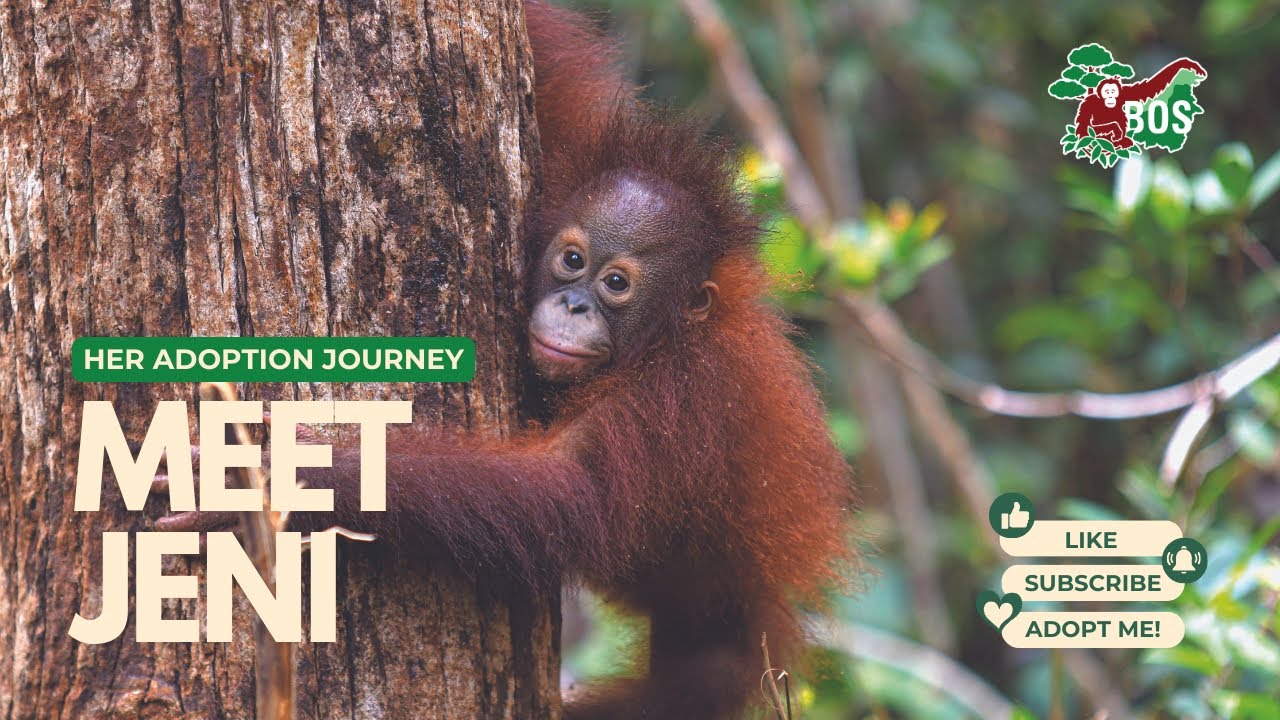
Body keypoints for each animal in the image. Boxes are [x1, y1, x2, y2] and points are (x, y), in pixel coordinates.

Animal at [154, 2, 856, 718]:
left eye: (616, 283)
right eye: (572, 259)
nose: (573, 304)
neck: (669, 336)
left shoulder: (680, 399)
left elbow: (563, 489)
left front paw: (284, 474)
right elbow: (555, 83)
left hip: (733, 644)